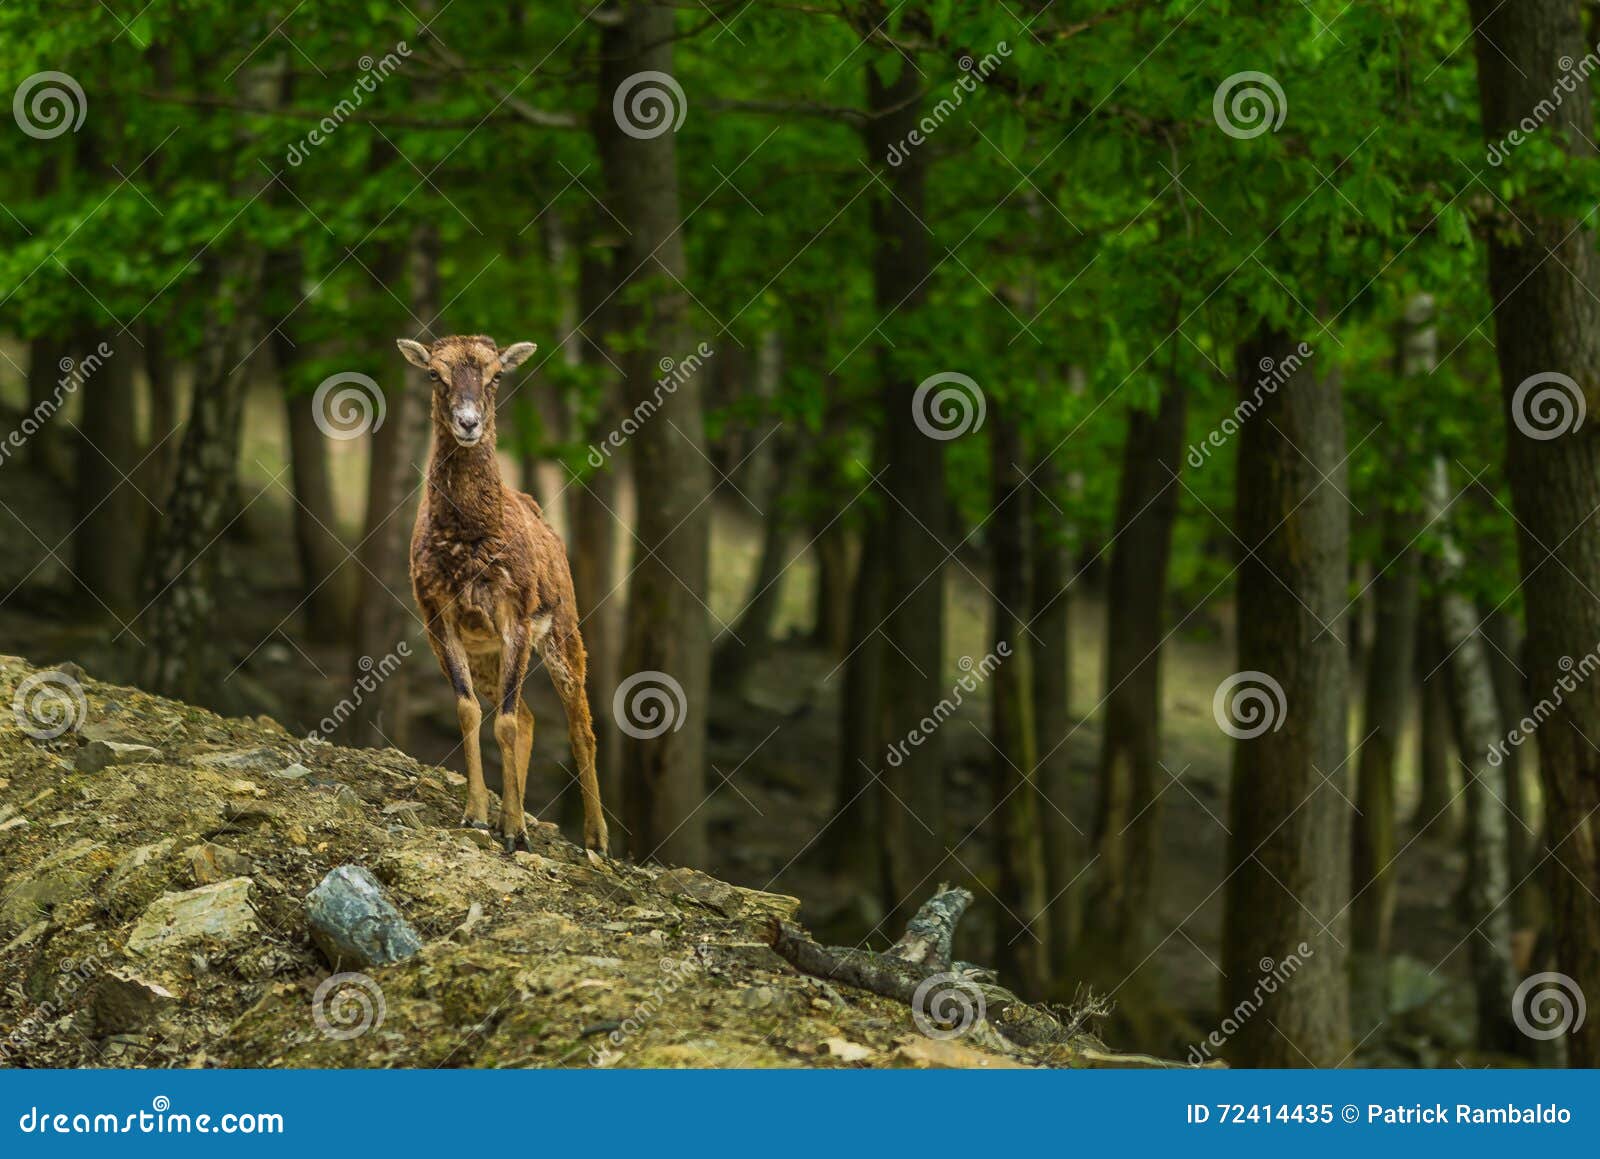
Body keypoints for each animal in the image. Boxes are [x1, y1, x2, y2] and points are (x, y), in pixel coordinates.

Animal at [397, 334, 609, 855]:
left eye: (497, 375)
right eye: (434, 373)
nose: (469, 422)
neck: (469, 542)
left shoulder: (516, 615)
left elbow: (506, 723)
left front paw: (514, 831)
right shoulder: (439, 619)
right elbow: (469, 710)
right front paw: (477, 814)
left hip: (563, 631)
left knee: (580, 725)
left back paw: (597, 838)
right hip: (486, 653)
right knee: (530, 716)